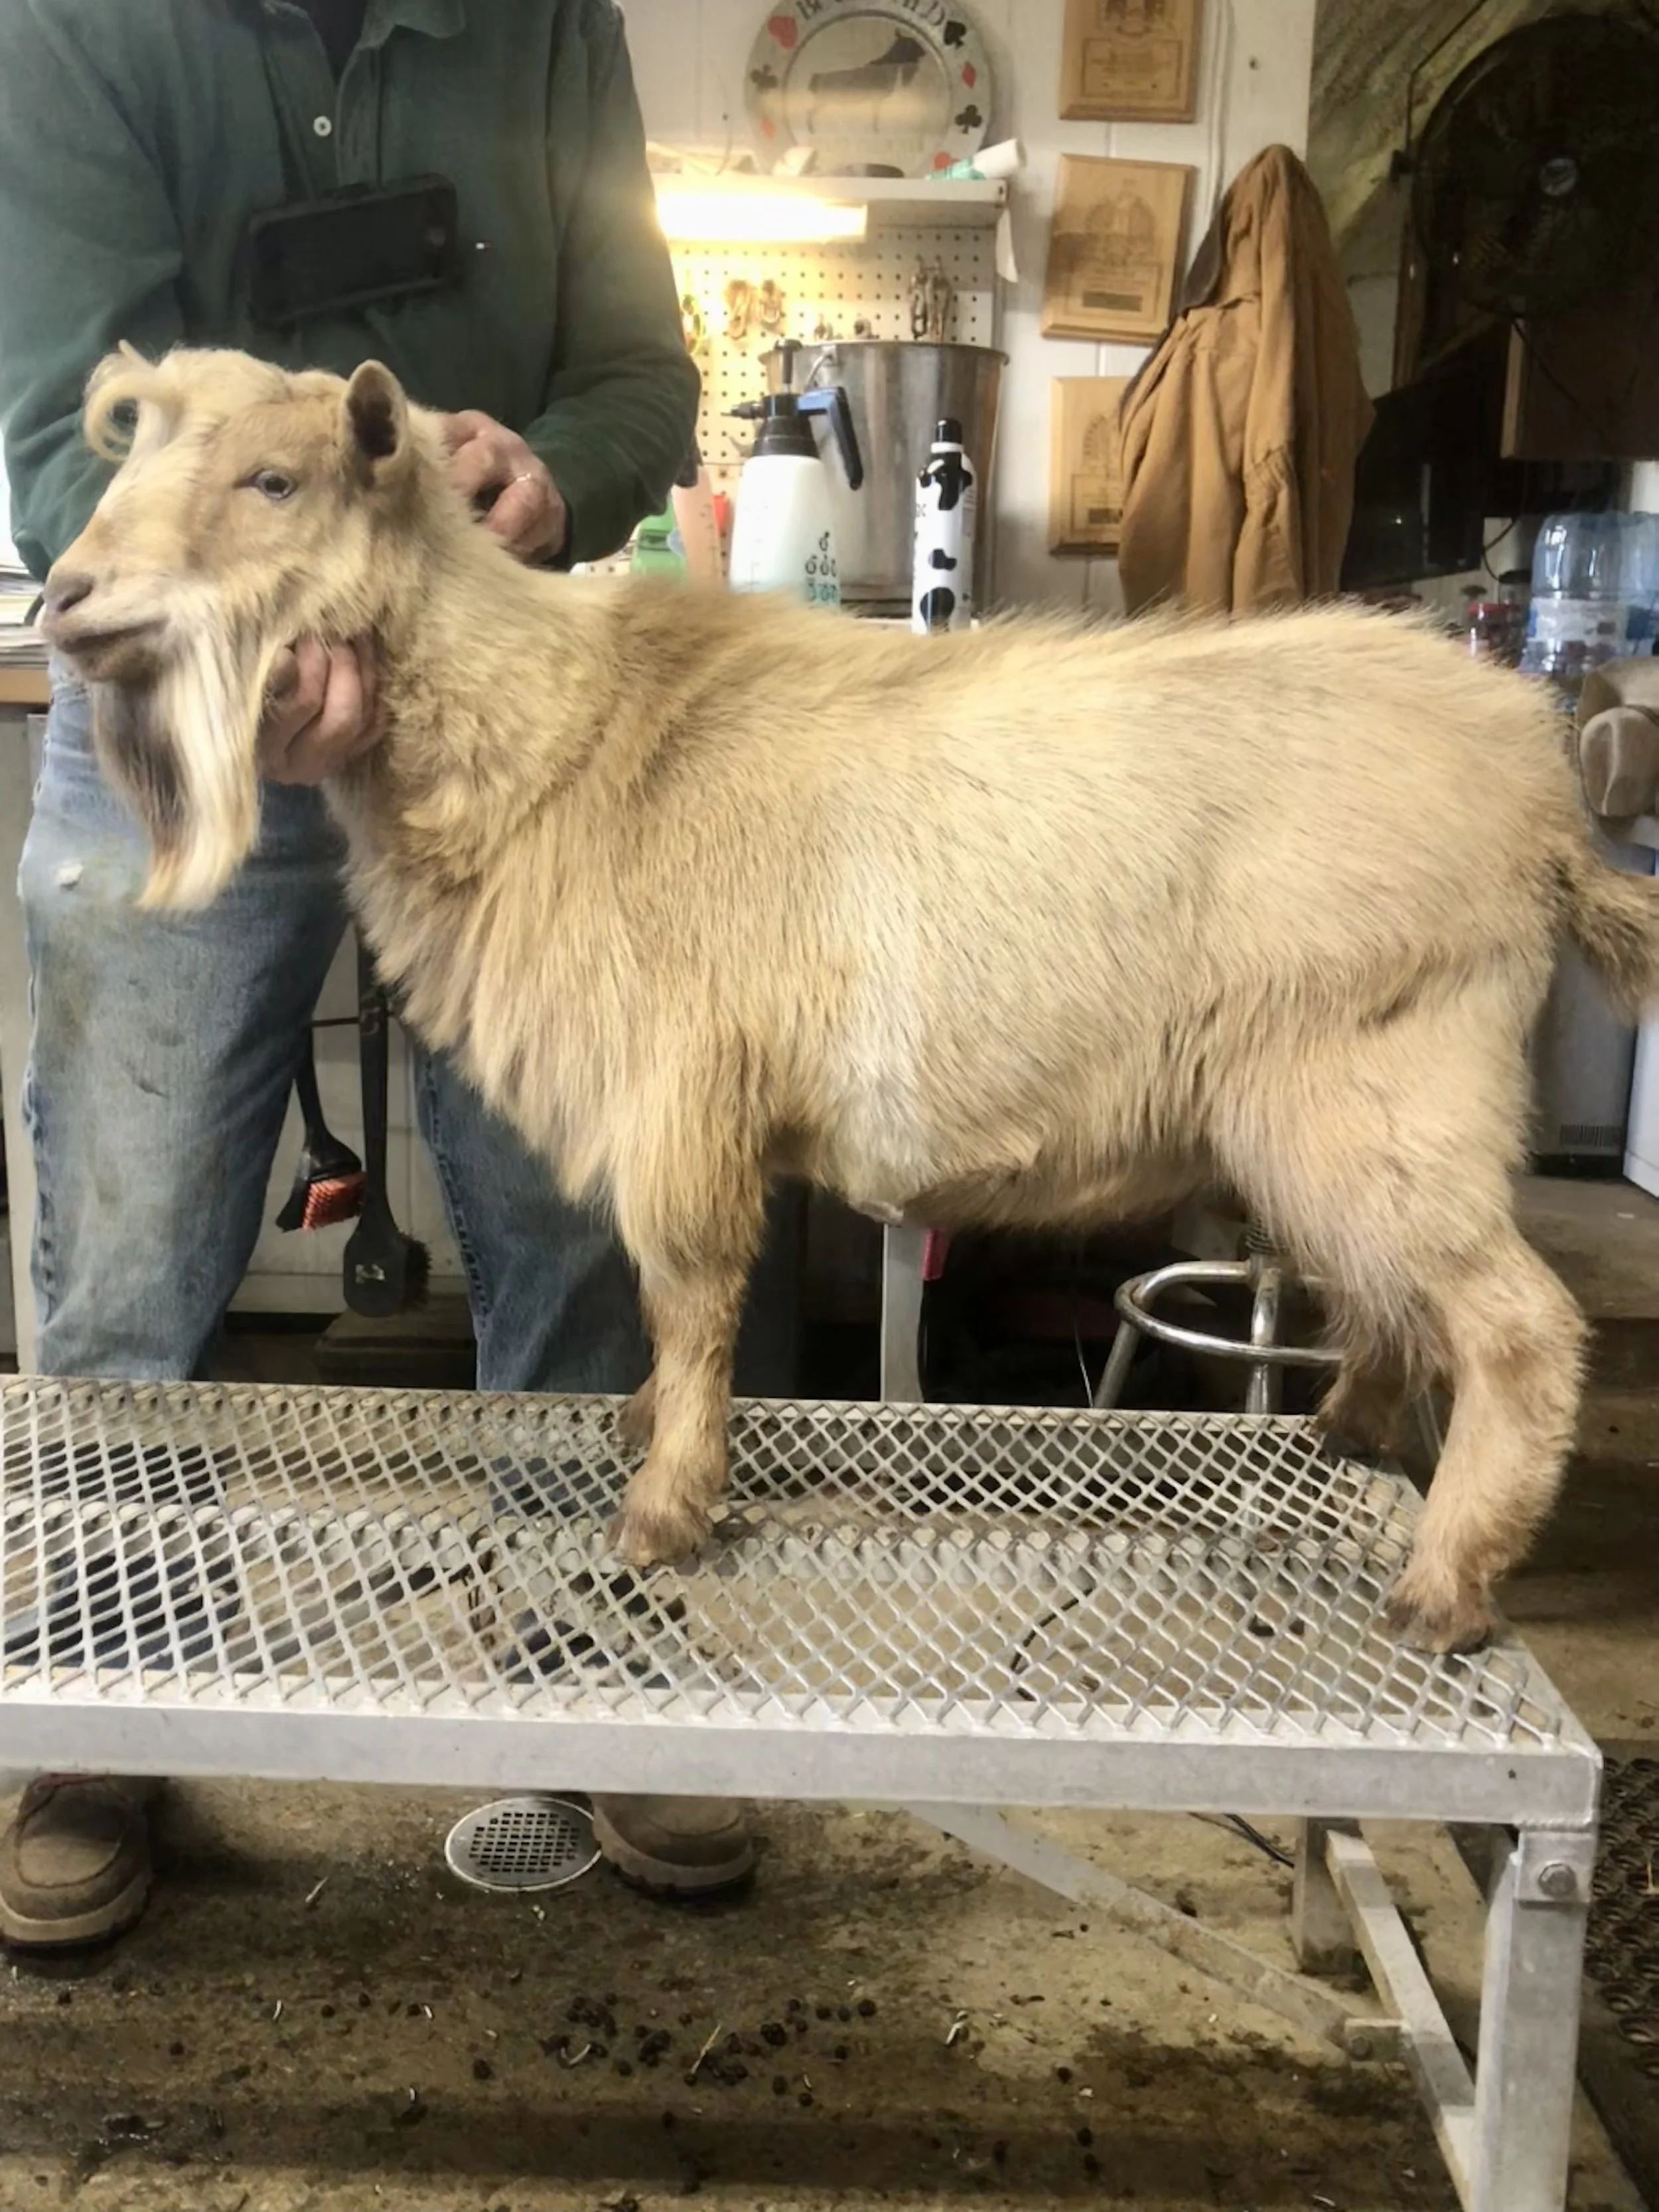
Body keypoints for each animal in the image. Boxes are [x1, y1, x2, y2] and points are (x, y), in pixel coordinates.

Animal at [39, 344, 1659, 1653]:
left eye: (274, 477)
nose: (60, 594)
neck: (551, 735)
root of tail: (1541, 808)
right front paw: (649, 1437)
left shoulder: (681, 1093)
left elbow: (690, 1296)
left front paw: (664, 1505)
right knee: (1396, 1298)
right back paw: (1346, 1432)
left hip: (1376, 1084)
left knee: (1518, 1327)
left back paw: (1445, 1581)